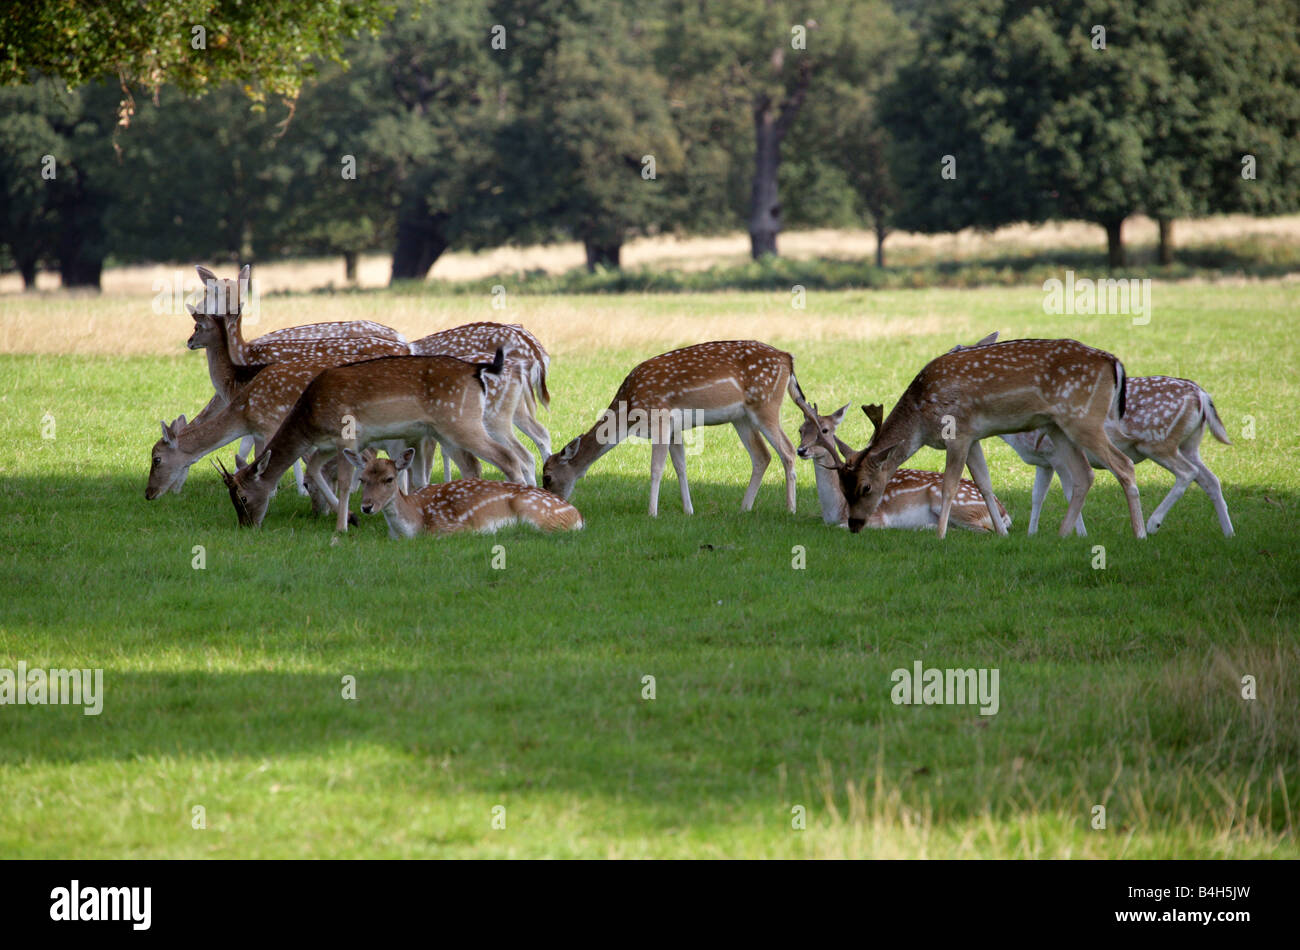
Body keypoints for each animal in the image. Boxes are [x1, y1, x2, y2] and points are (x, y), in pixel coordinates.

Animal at [216, 352, 528, 531]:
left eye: (242, 497)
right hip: (444, 430)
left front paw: (342, 527)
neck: (309, 419)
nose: (246, 526)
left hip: (461, 421)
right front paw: (352, 517)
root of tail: (478, 370)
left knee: (508, 457)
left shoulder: (347, 437)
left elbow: (344, 482)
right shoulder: (326, 444)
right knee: (476, 465)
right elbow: (314, 469)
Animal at [342, 448, 583, 538]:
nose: (366, 506)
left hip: (534, 511)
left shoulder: (450, 528)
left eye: (389, 479)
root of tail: (577, 516)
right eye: (362, 479)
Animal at [541, 340, 805, 516]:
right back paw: (744, 508)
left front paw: (652, 512)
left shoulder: (660, 418)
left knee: (788, 450)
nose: (556, 503)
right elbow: (681, 466)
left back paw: (790, 508)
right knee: (762, 455)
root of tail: (788, 358)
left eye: (548, 476)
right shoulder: (675, 429)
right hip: (741, 417)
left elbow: (656, 468)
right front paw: (689, 510)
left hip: (766, 404)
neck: (628, 416)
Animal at [796, 403, 1010, 532]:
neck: (835, 509)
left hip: (956, 503)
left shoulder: (876, 517)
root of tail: (1004, 512)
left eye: (824, 430)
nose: (801, 450)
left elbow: (842, 526)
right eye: (800, 430)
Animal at [952, 332, 1233, 537]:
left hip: (1159, 442)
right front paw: (1032, 535)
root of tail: (1202, 395)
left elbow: (1068, 489)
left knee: (1187, 473)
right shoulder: (1043, 461)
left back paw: (1153, 524)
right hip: (1189, 444)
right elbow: (1037, 496)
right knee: (1211, 479)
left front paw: (1079, 533)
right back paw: (1228, 533)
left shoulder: (1053, 454)